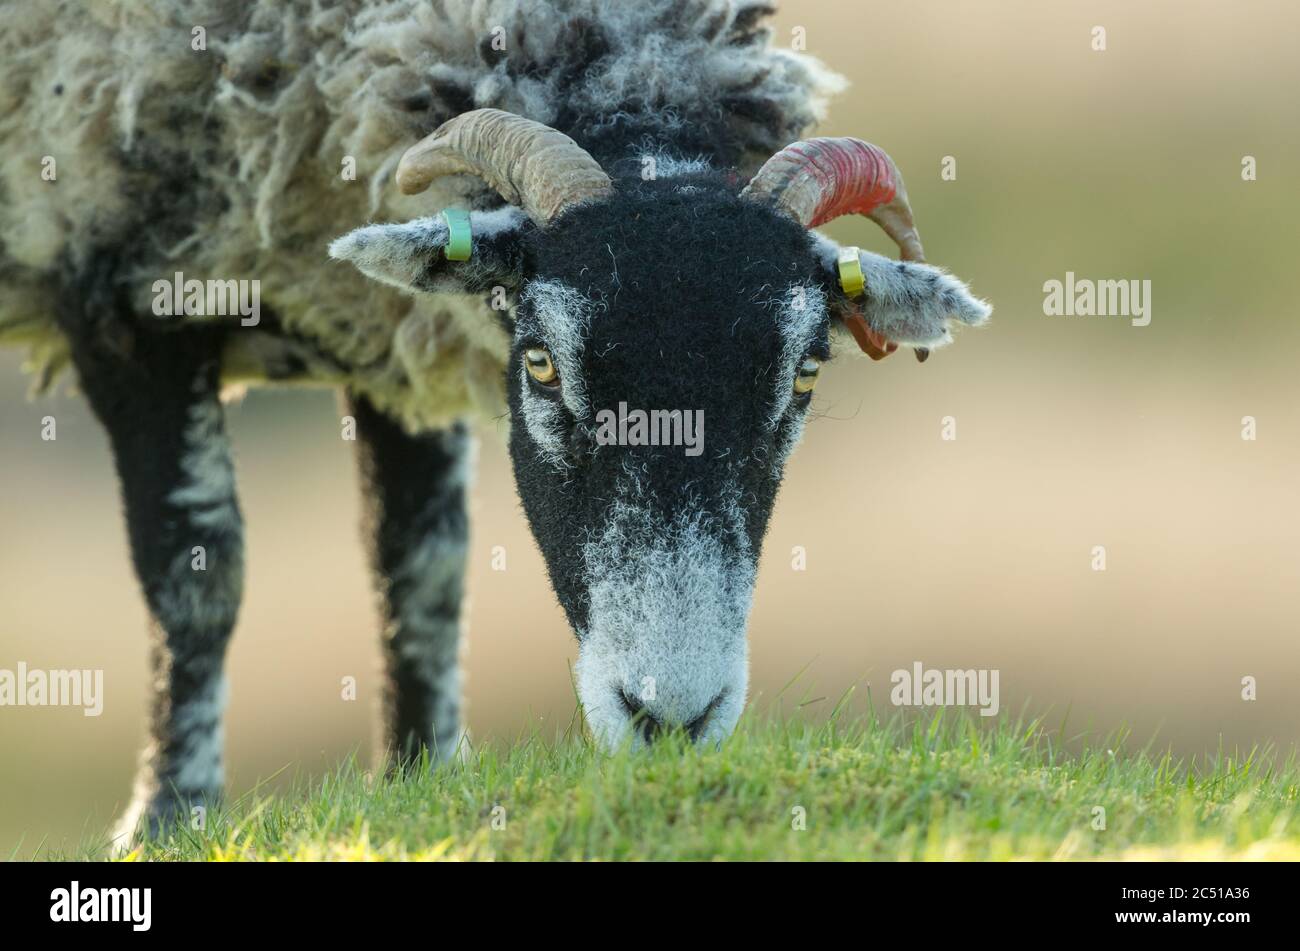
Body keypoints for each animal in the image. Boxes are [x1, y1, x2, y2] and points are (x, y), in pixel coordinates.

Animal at [0, 0, 990, 840]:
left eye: (806, 372)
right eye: (541, 363)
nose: (669, 720)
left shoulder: (387, 340)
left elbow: (422, 573)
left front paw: (421, 775)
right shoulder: (120, 287)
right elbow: (197, 573)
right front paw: (172, 816)